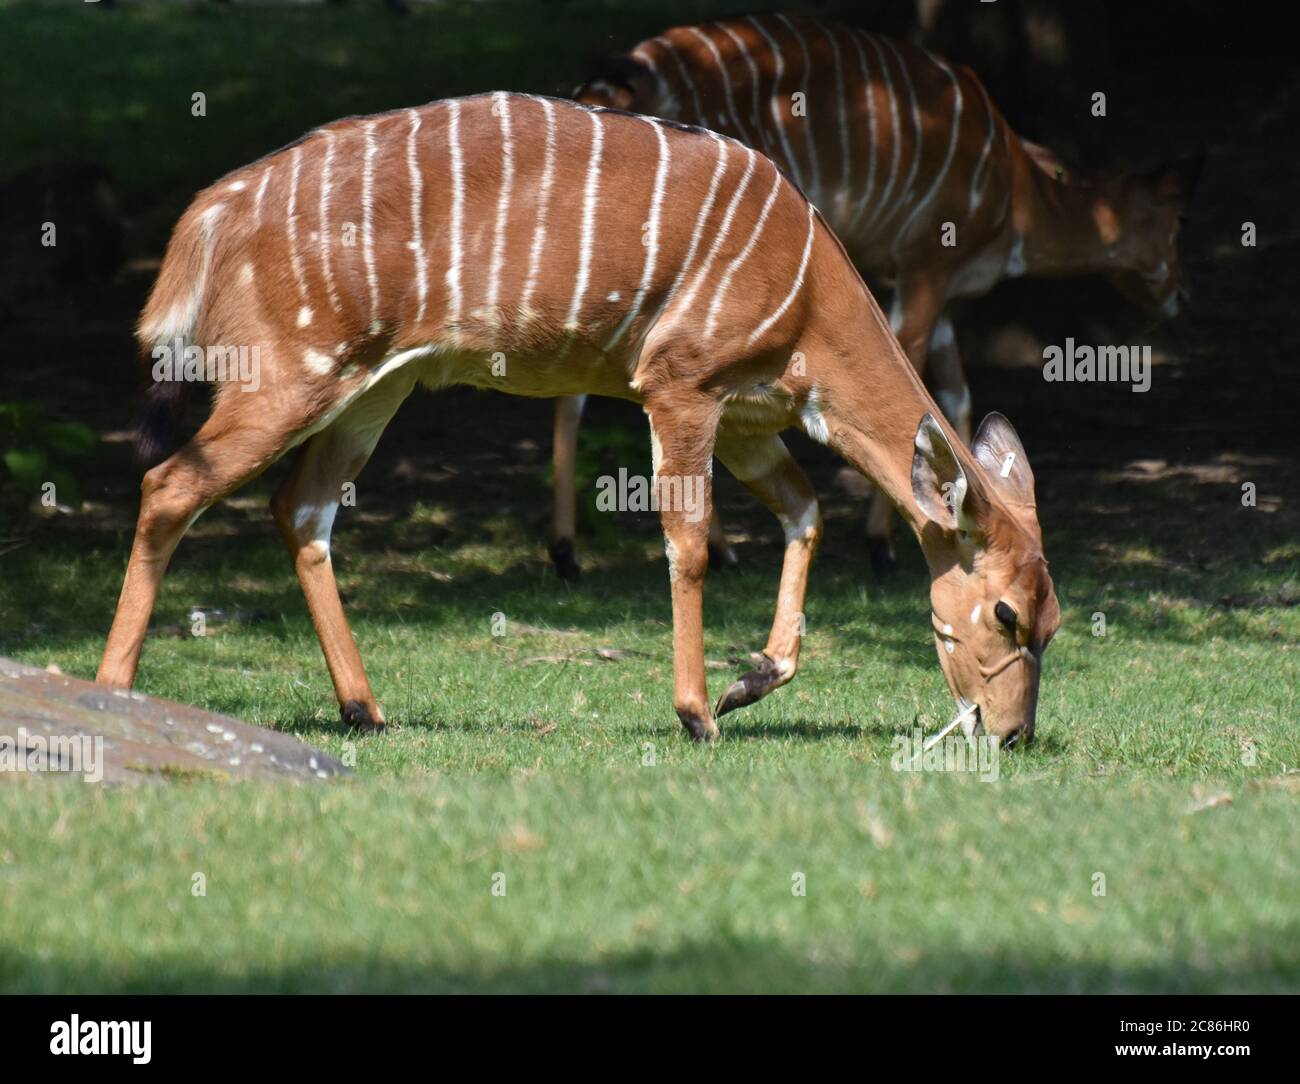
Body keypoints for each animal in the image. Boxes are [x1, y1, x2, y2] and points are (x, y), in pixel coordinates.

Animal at [97, 92, 1060, 742]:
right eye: (1007, 615)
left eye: (1054, 622)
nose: (1012, 732)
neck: (809, 294)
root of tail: (209, 216)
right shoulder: (679, 385)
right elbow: (689, 540)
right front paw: (699, 713)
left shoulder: (750, 420)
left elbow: (805, 511)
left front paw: (752, 679)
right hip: (286, 376)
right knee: (169, 485)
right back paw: (112, 690)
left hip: (373, 389)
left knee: (300, 509)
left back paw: (364, 709)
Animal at [549, 11, 1200, 578]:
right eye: (1176, 223)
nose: (1179, 298)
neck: (1017, 189)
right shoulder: (924, 267)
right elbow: (918, 387)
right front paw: (880, 546)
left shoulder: (943, 296)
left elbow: (957, 398)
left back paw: (586, 553)